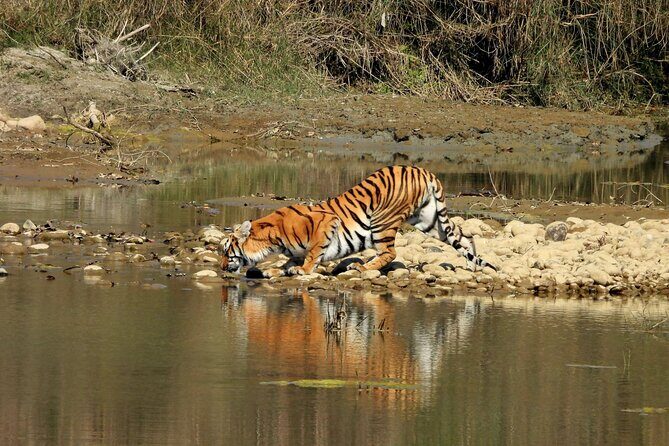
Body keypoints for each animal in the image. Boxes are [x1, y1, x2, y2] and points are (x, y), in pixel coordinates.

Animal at [220, 165, 497, 277]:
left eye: (225, 250)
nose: (222, 267)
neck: (271, 238)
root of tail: (423, 170)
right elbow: (292, 258)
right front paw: (279, 269)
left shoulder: (325, 224)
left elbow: (313, 254)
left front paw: (303, 271)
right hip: (428, 220)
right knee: (464, 236)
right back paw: (473, 267)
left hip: (382, 221)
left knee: (390, 253)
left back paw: (361, 268)